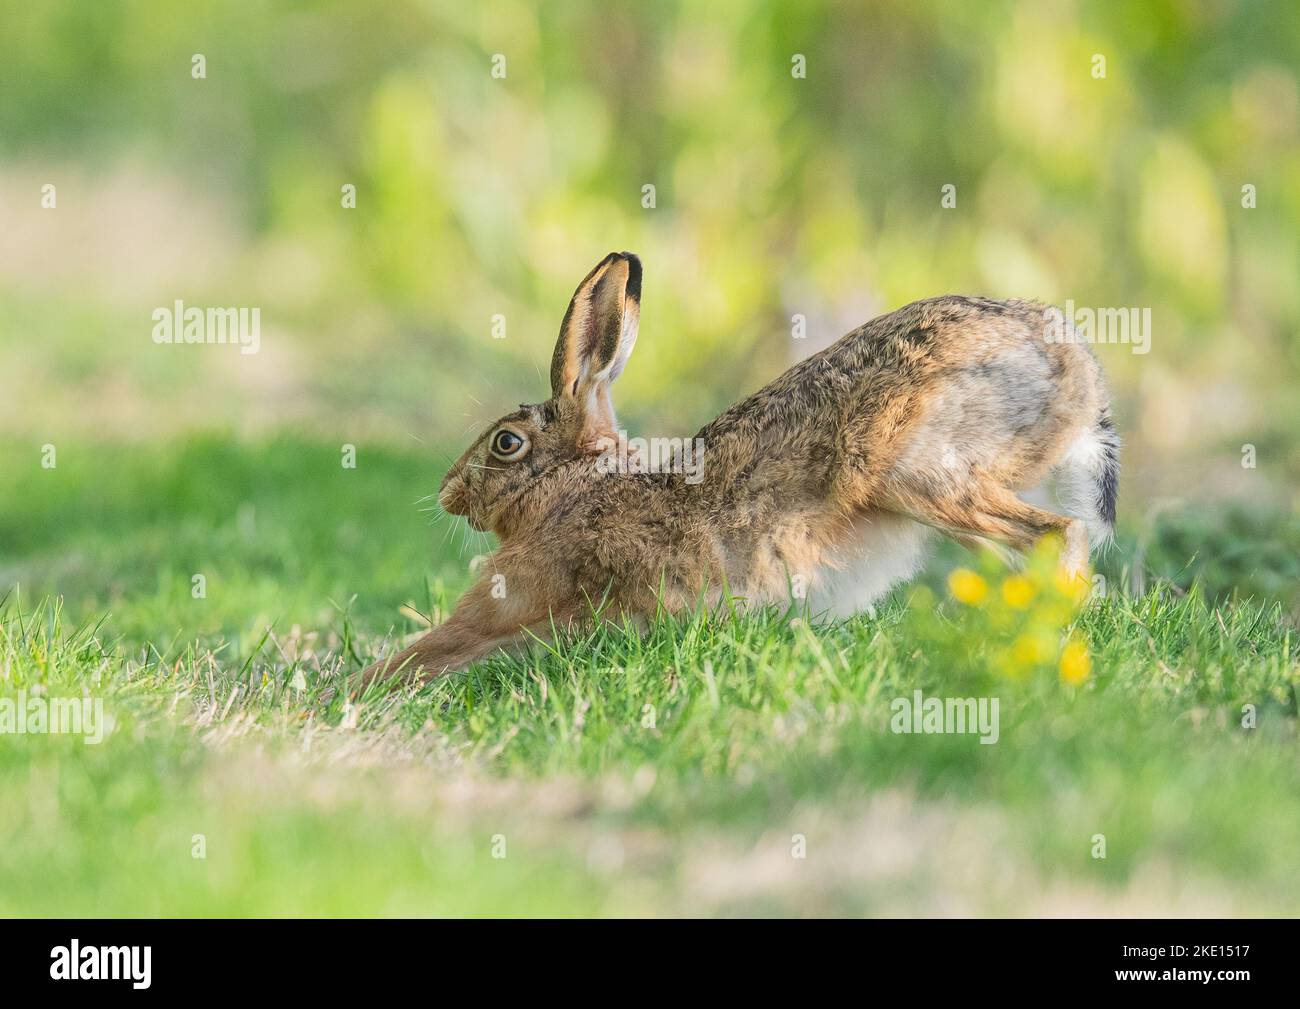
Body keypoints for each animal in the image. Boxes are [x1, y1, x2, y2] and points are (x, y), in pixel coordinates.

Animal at [361, 251, 1119, 684]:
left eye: (506, 444)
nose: (447, 492)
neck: (572, 490)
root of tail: (1071, 364)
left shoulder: (514, 600)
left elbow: (435, 645)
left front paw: (352, 691)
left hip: (916, 474)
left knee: (1058, 534)